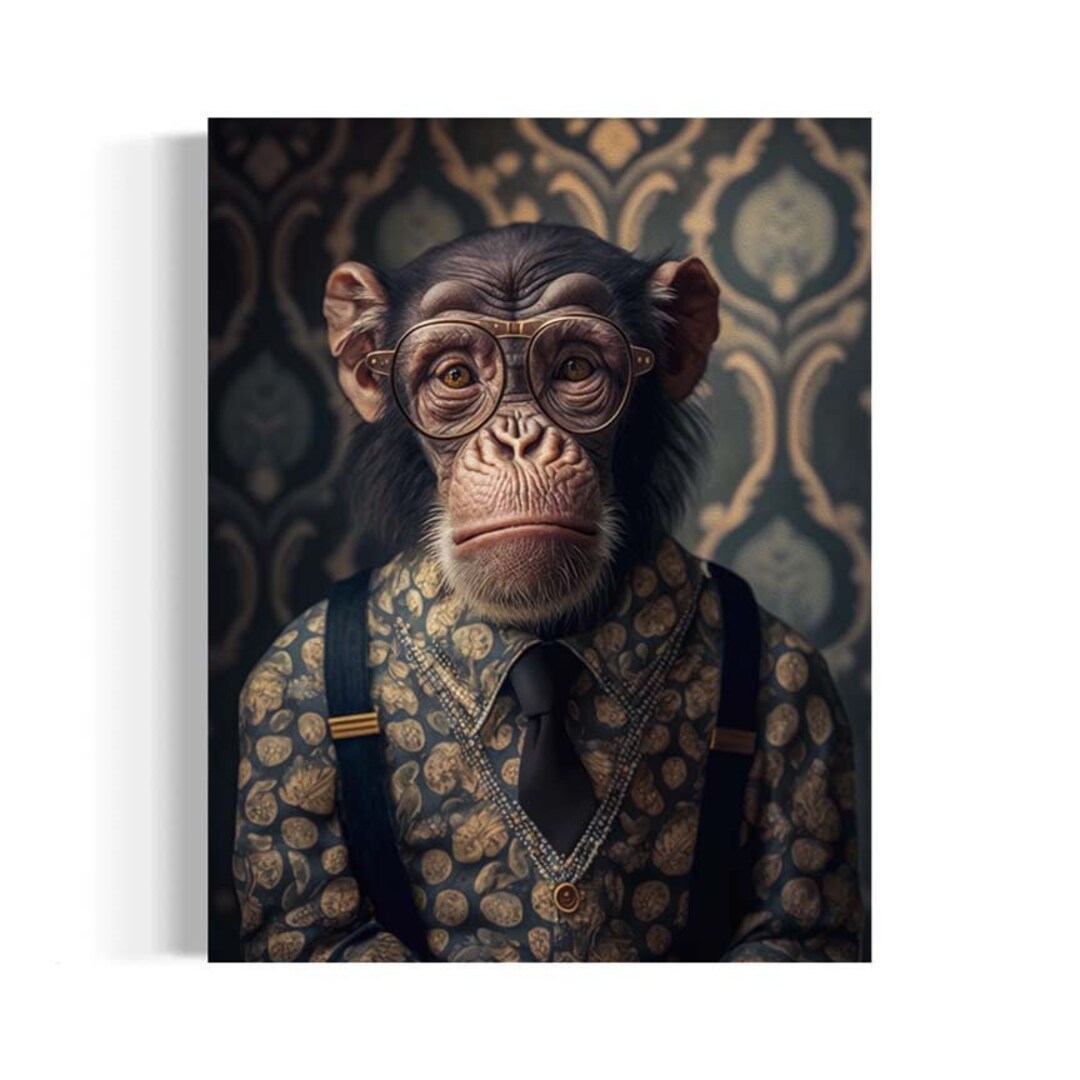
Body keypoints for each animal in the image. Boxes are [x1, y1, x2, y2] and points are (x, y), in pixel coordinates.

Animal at [233, 223, 862, 963]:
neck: (541, 641)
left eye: (574, 369)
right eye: (455, 375)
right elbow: (318, 929)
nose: (518, 439)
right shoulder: (279, 687)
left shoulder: (798, 684)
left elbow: (797, 922)